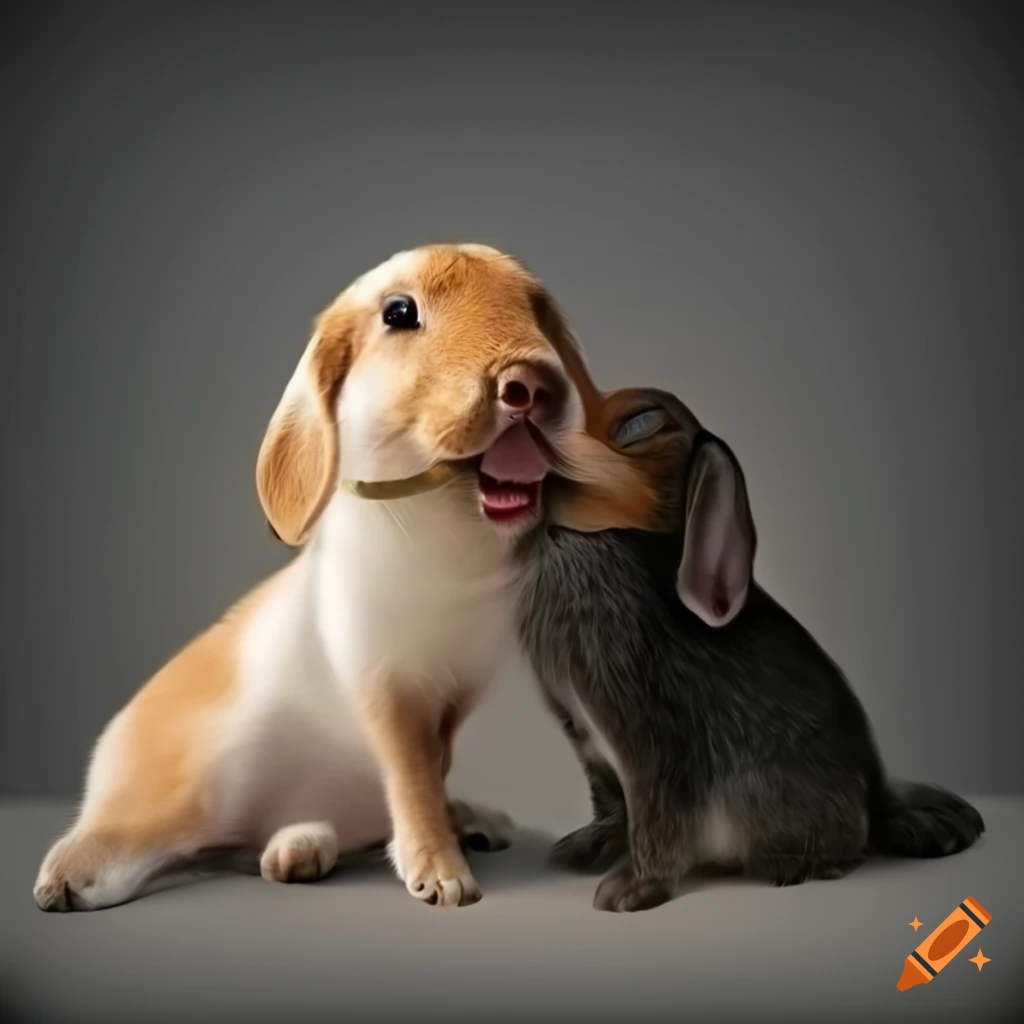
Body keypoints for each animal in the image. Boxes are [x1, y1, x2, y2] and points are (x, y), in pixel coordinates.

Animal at [32, 244, 651, 913]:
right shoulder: (382, 683)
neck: (444, 533)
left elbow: (434, 767)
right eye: (399, 312)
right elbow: (410, 777)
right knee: (133, 829)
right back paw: (63, 880)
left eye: (536, 308)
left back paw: (314, 848)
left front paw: (447, 836)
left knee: (268, 848)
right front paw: (443, 879)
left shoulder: (455, 694)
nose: (534, 384)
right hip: (180, 783)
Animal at [516, 386, 986, 913]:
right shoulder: (583, 735)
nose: (530, 405)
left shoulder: (653, 737)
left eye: (640, 423)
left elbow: (656, 812)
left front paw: (632, 890)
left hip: (767, 791)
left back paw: (789, 866)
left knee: (851, 843)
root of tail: (878, 797)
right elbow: (609, 799)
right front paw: (584, 848)